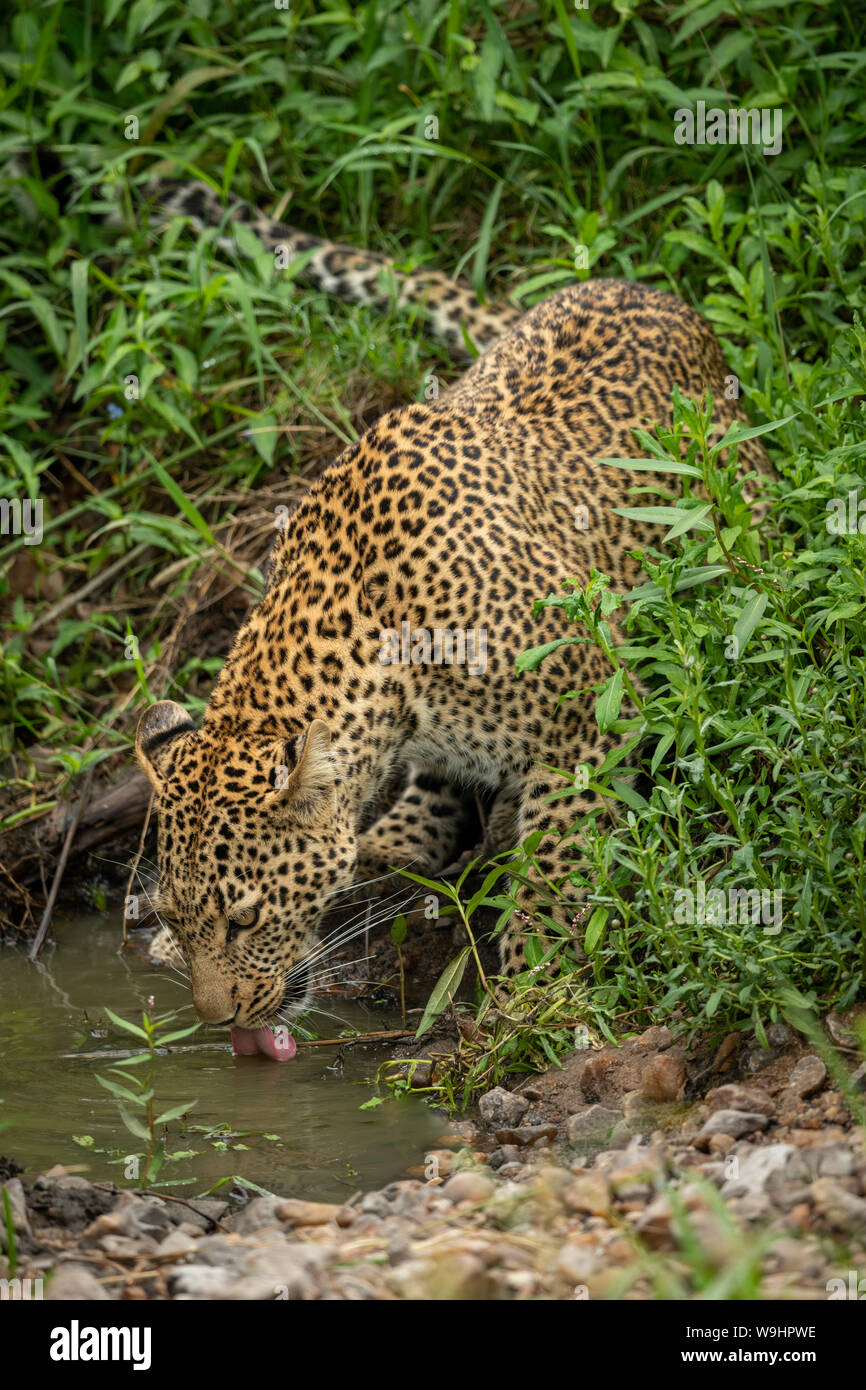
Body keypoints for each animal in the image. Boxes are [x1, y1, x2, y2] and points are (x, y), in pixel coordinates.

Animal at [136, 181, 774, 1047]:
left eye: (243, 920)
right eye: (178, 912)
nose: (217, 1019)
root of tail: (659, 298)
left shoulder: (589, 707)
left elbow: (560, 859)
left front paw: (537, 981)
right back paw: (392, 840)